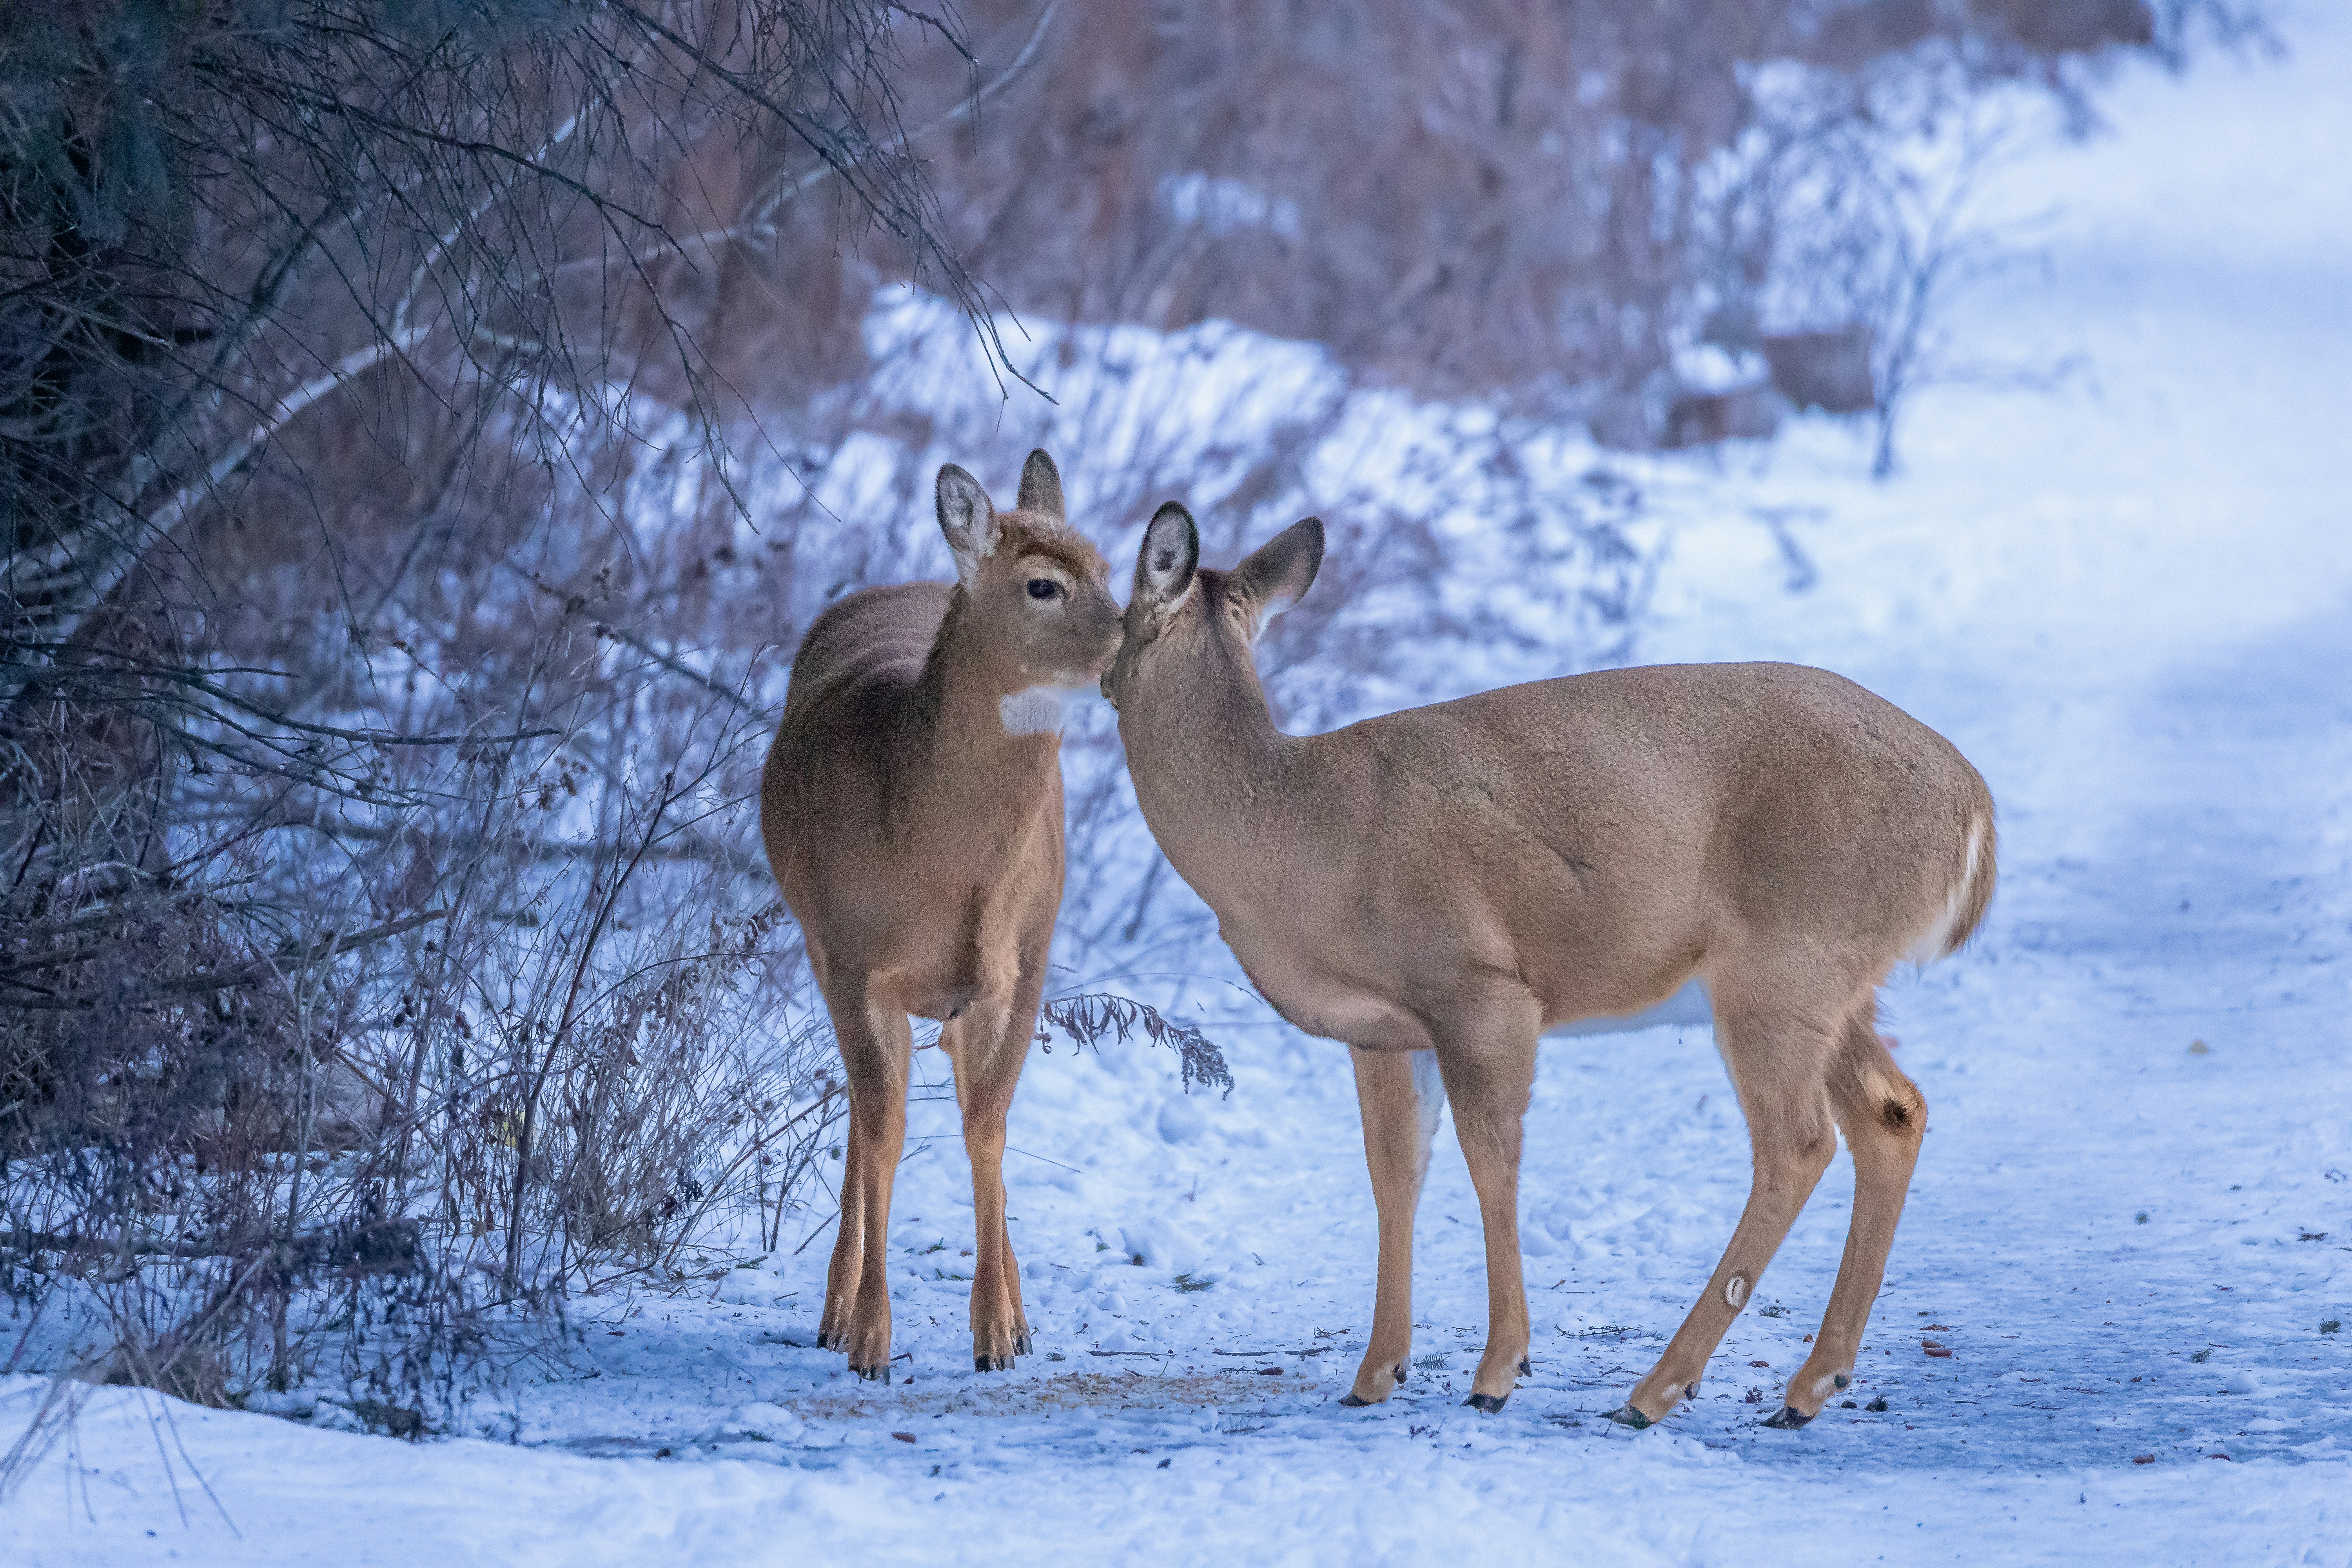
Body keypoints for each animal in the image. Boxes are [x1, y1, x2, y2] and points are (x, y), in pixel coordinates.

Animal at [759, 450, 1122, 1381]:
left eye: (1110, 565)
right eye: (1042, 585)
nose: (1130, 636)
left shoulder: (1024, 960)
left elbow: (986, 1125)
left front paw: (998, 1331)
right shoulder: (855, 958)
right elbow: (886, 1129)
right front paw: (870, 1339)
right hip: (816, 943)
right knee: (862, 1108)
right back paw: (834, 1310)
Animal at [1101, 504, 1994, 1429]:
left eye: (1115, 620)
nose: (1096, 674)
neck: (1296, 832)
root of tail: (1975, 809)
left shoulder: (1480, 988)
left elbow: (1492, 1159)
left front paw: (1498, 1369)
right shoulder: (1383, 1028)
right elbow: (1394, 1172)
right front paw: (1377, 1370)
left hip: (1783, 968)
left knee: (1799, 1143)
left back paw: (1657, 1389)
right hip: (1833, 985)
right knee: (1893, 1112)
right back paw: (1811, 1384)